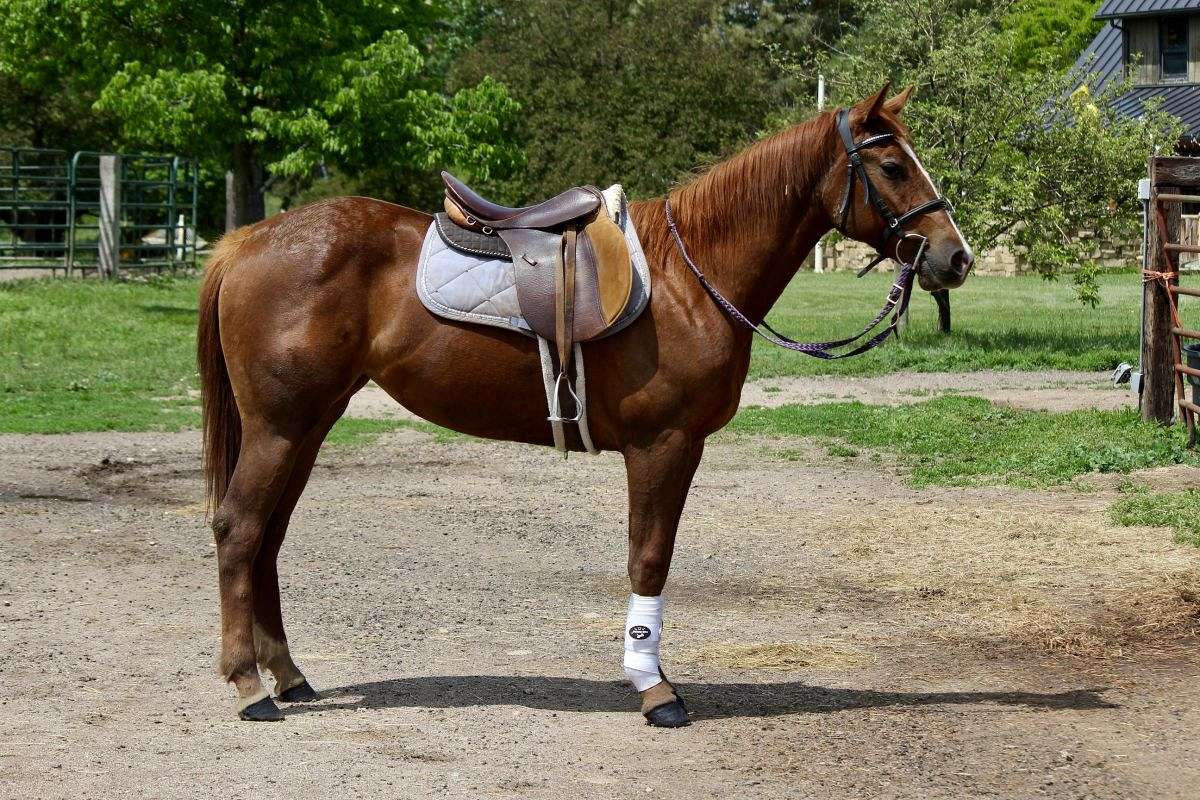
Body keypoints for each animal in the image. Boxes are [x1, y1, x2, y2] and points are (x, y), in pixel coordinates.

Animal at [197, 83, 972, 726]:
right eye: (893, 167)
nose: (956, 258)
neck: (689, 278)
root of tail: (247, 240)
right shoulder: (664, 444)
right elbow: (649, 557)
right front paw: (654, 687)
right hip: (279, 426)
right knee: (239, 530)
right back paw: (249, 686)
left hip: (308, 425)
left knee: (268, 537)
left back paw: (289, 676)